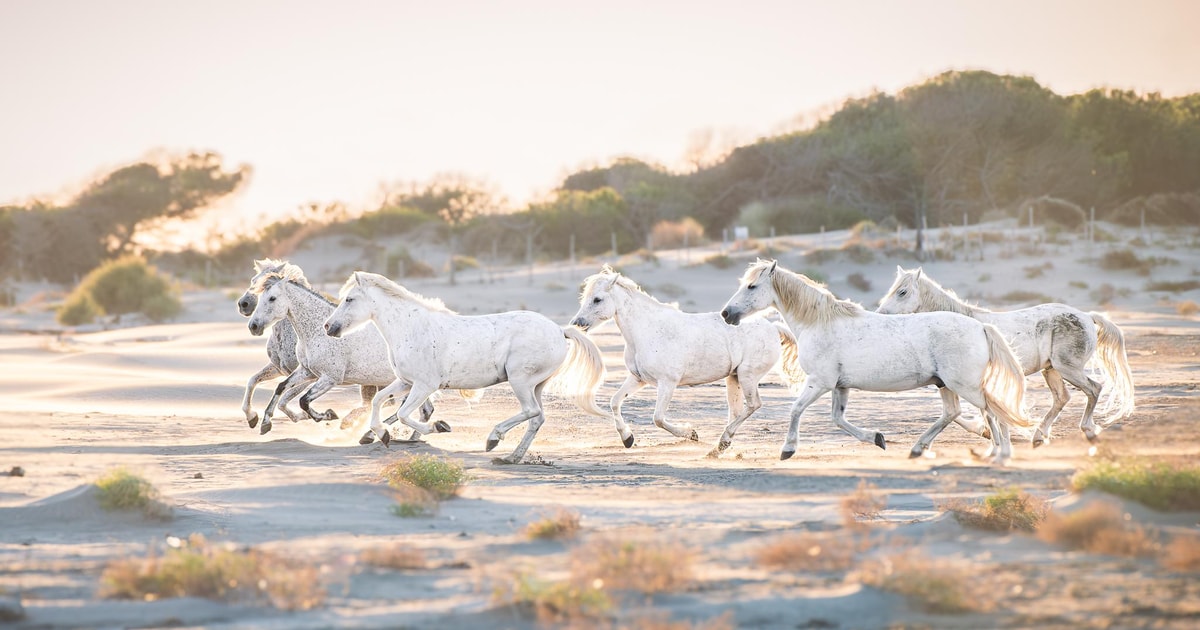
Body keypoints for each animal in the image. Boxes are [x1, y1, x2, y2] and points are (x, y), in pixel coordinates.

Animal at [245, 264, 436, 436]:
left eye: (272, 298)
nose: (253, 326)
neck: (316, 331)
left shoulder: (330, 378)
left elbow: (303, 401)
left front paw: (328, 415)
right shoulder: (307, 371)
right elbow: (281, 388)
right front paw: (264, 423)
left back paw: (369, 433)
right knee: (424, 410)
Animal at [323, 271, 609, 464]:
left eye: (349, 299)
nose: (329, 327)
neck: (411, 327)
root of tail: (560, 331)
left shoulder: (424, 385)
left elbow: (404, 414)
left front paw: (438, 427)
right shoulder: (405, 381)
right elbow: (378, 401)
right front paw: (381, 434)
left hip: (520, 381)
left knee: (530, 411)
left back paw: (493, 439)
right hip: (536, 385)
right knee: (537, 418)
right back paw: (511, 458)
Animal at [569, 266, 805, 456]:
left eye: (597, 299)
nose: (577, 323)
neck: (646, 330)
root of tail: (773, 327)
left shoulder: (667, 383)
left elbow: (658, 418)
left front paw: (691, 434)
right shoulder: (638, 379)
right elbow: (615, 402)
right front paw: (627, 439)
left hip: (748, 376)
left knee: (754, 404)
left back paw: (721, 442)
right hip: (734, 378)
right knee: (738, 411)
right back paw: (720, 447)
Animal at [720, 260, 1034, 464]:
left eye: (751, 286)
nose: (726, 313)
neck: (820, 323)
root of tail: (980, 327)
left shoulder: (820, 382)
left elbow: (796, 410)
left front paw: (787, 449)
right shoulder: (840, 386)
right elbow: (838, 419)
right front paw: (876, 438)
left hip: (965, 386)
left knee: (993, 412)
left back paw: (1001, 454)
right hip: (946, 385)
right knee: (955, 413)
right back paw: (919, 449)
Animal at [876, 266, 1134, 447]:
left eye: (902, 292)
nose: (880, 314)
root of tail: (1087, 316)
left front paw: (987, 432)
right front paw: (986, 431)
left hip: (1068, 368)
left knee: (1094, 389)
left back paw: (1088, 430)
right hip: (1052, 370)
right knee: (1062, 398)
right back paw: (1038, 436)